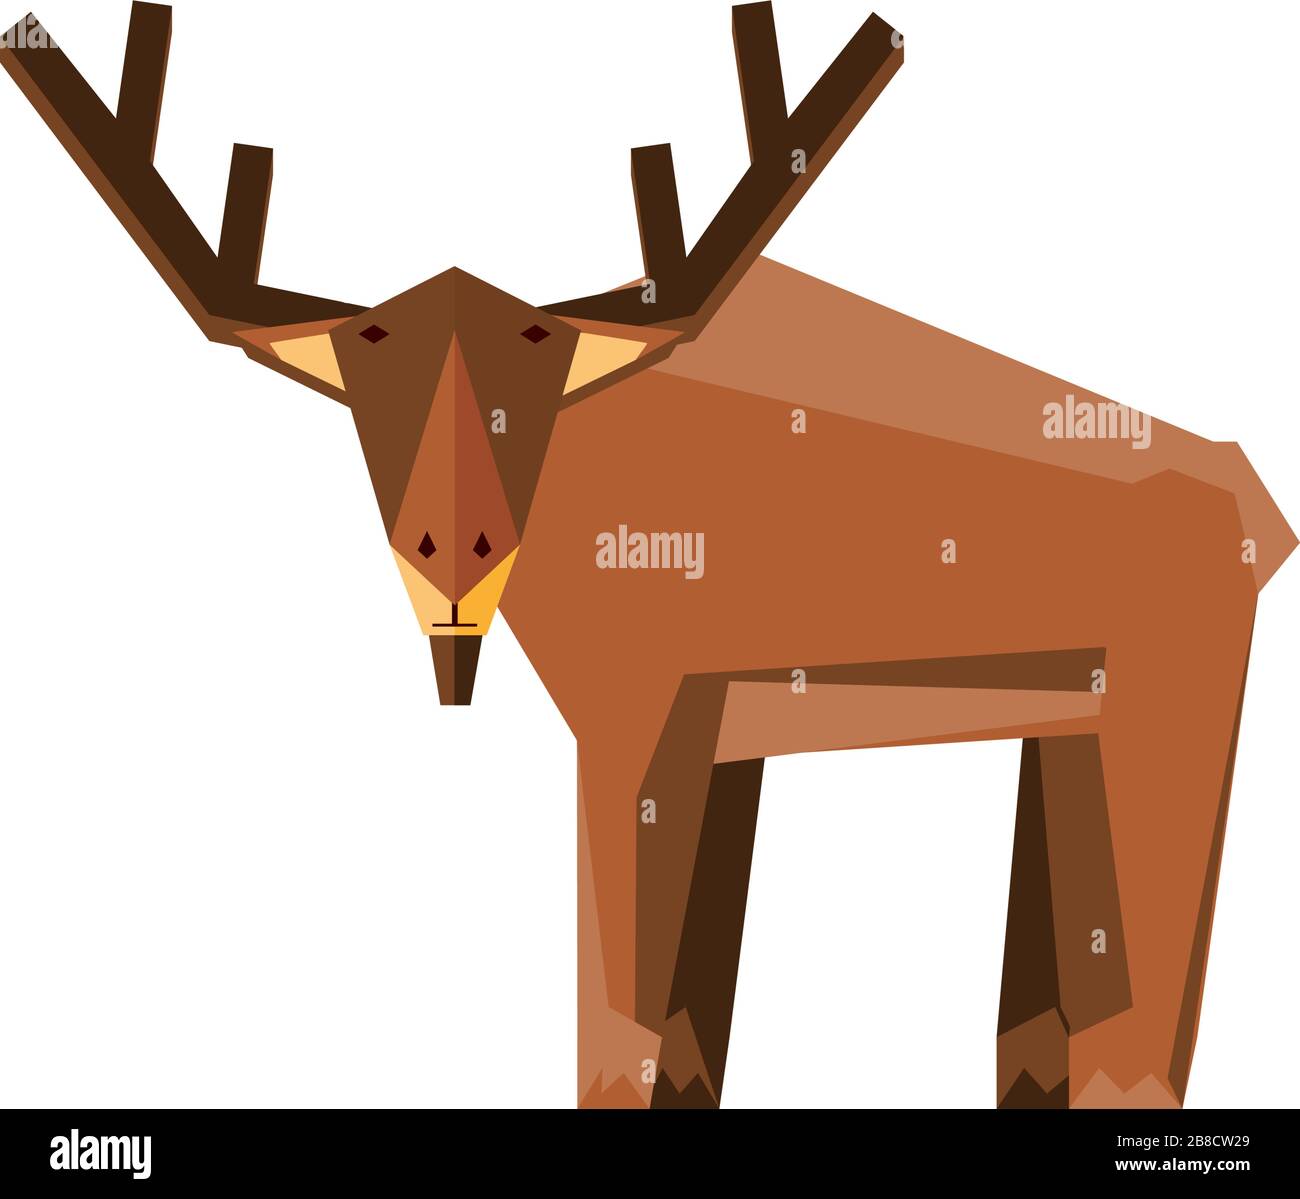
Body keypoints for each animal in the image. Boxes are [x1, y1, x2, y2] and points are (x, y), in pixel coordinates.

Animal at [3, 1, 1294, 1110]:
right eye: (369, 342)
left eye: (539, 340)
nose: (451, 548)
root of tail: (1265, 509)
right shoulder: (726, 735)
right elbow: (686, 1038)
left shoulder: (635, 716)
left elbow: (615, 1036)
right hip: (1061, 734)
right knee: (1043, 1028)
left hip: (1163, 737)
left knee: (1136, 1046)